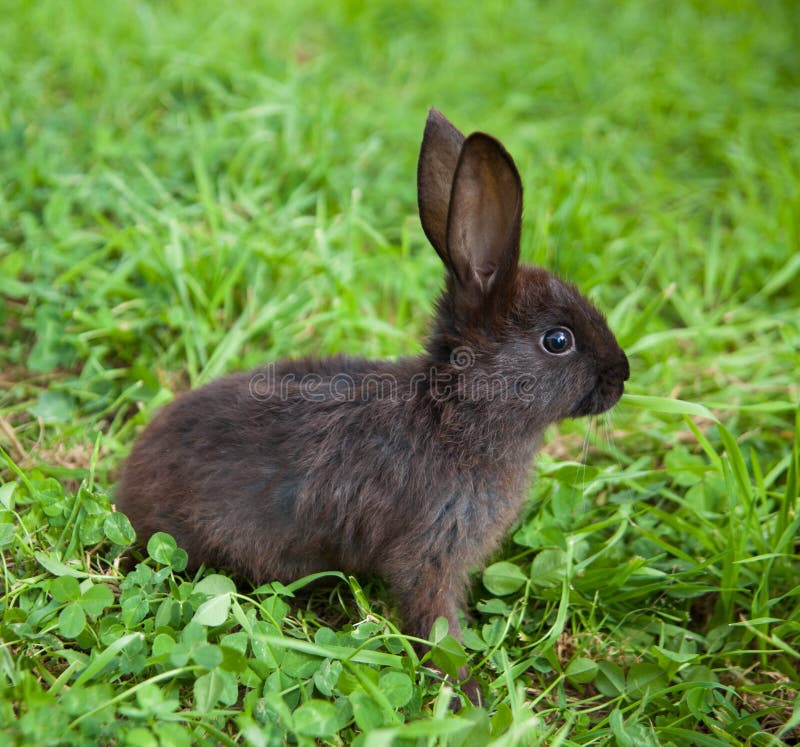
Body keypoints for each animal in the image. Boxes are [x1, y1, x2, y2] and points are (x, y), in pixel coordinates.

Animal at [116, 109, 629, 705]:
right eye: (557, 341)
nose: (622, 375)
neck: (455, 412)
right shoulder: (430, 550)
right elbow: (433, 619)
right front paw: (470, 691)